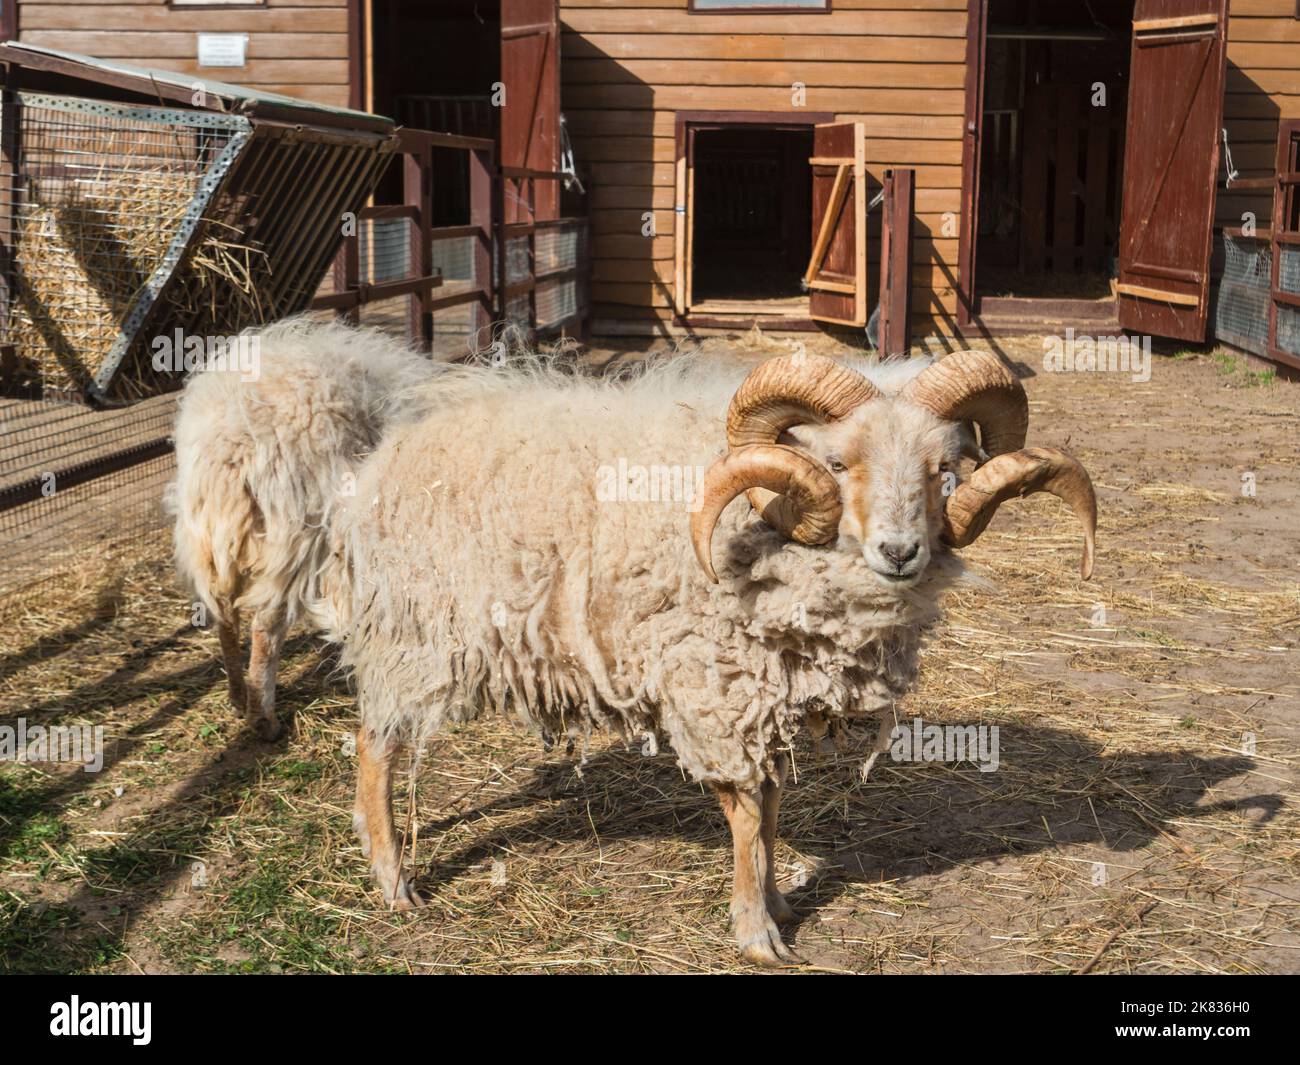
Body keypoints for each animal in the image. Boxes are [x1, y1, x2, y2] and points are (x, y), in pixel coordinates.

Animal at [168, 317, 439, 739]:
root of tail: (231, 441)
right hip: (296, 536)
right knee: (265, 626)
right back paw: (263, 718)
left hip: (207, 537)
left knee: (224, 616)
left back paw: (237, 695)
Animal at [326, 347, 1097, 965]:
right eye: (838, 463)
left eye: (944, 470)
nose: (901, 551)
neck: (766, 516)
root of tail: (390, 450)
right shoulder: (715, 686)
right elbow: (748, 812)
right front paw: (757, 932)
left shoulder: (772, 691)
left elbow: (775, 804)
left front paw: (779, 898)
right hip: (416, 631)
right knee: (375, 743)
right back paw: (393, 879)